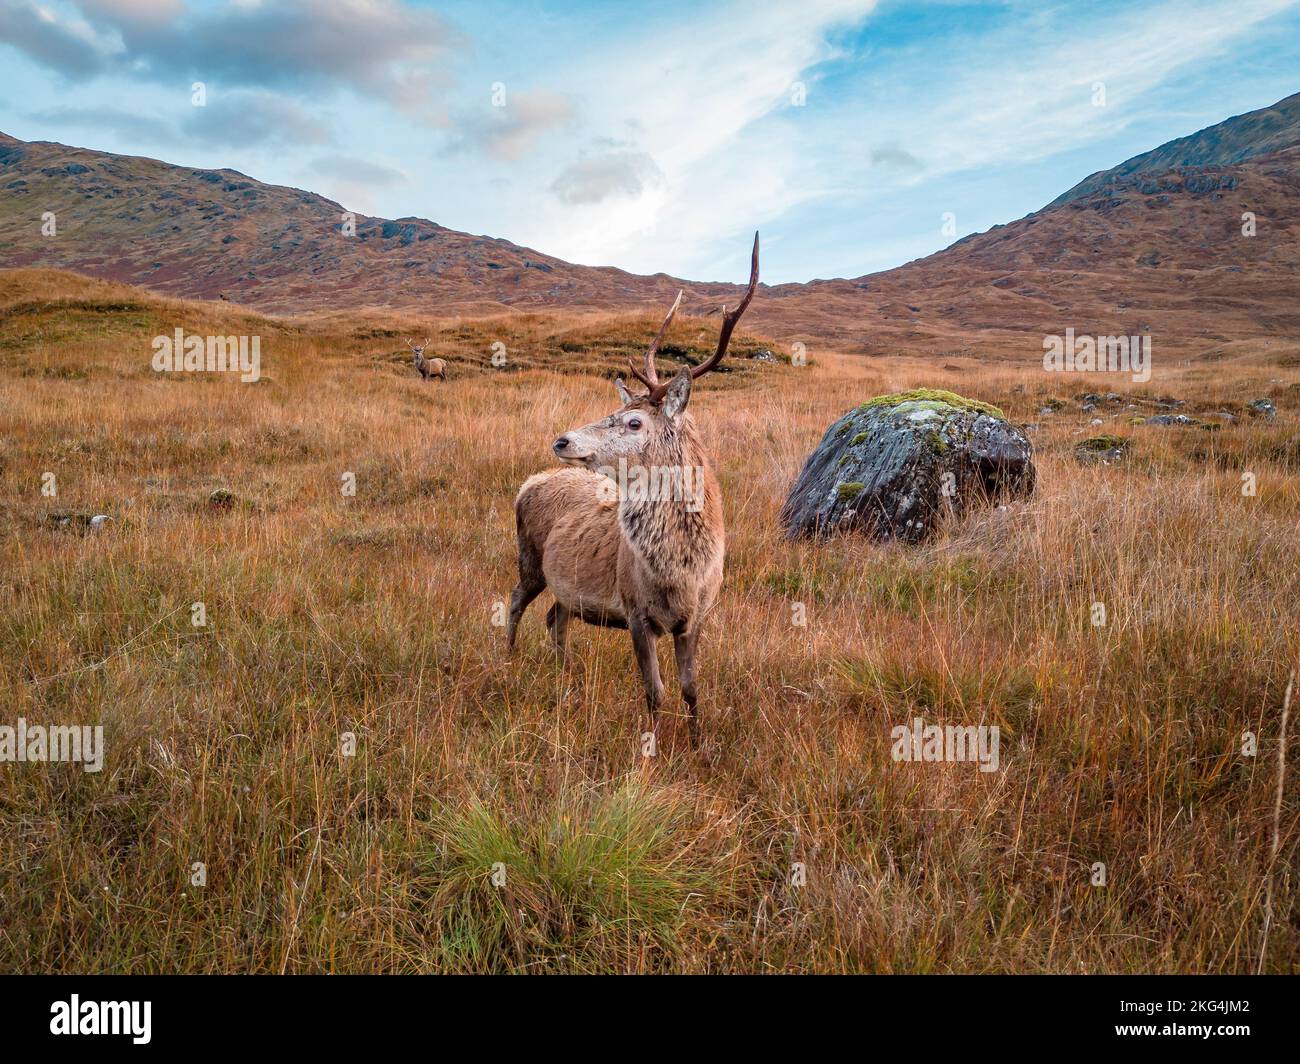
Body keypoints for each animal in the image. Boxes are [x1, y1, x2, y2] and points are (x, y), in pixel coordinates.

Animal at [507, 233, 759, 745]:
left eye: (634, 421)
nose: (562, 440)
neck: (680, 573)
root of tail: (529, 482)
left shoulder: (696, 618)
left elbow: (691, 689)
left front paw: (699, 745)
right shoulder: (634, 611)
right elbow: (654, 692)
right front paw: (653, 748)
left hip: (564, 585)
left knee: (555, 619)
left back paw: (567, 679)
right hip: (529, 559)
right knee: (514, 603)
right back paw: (506, 662)